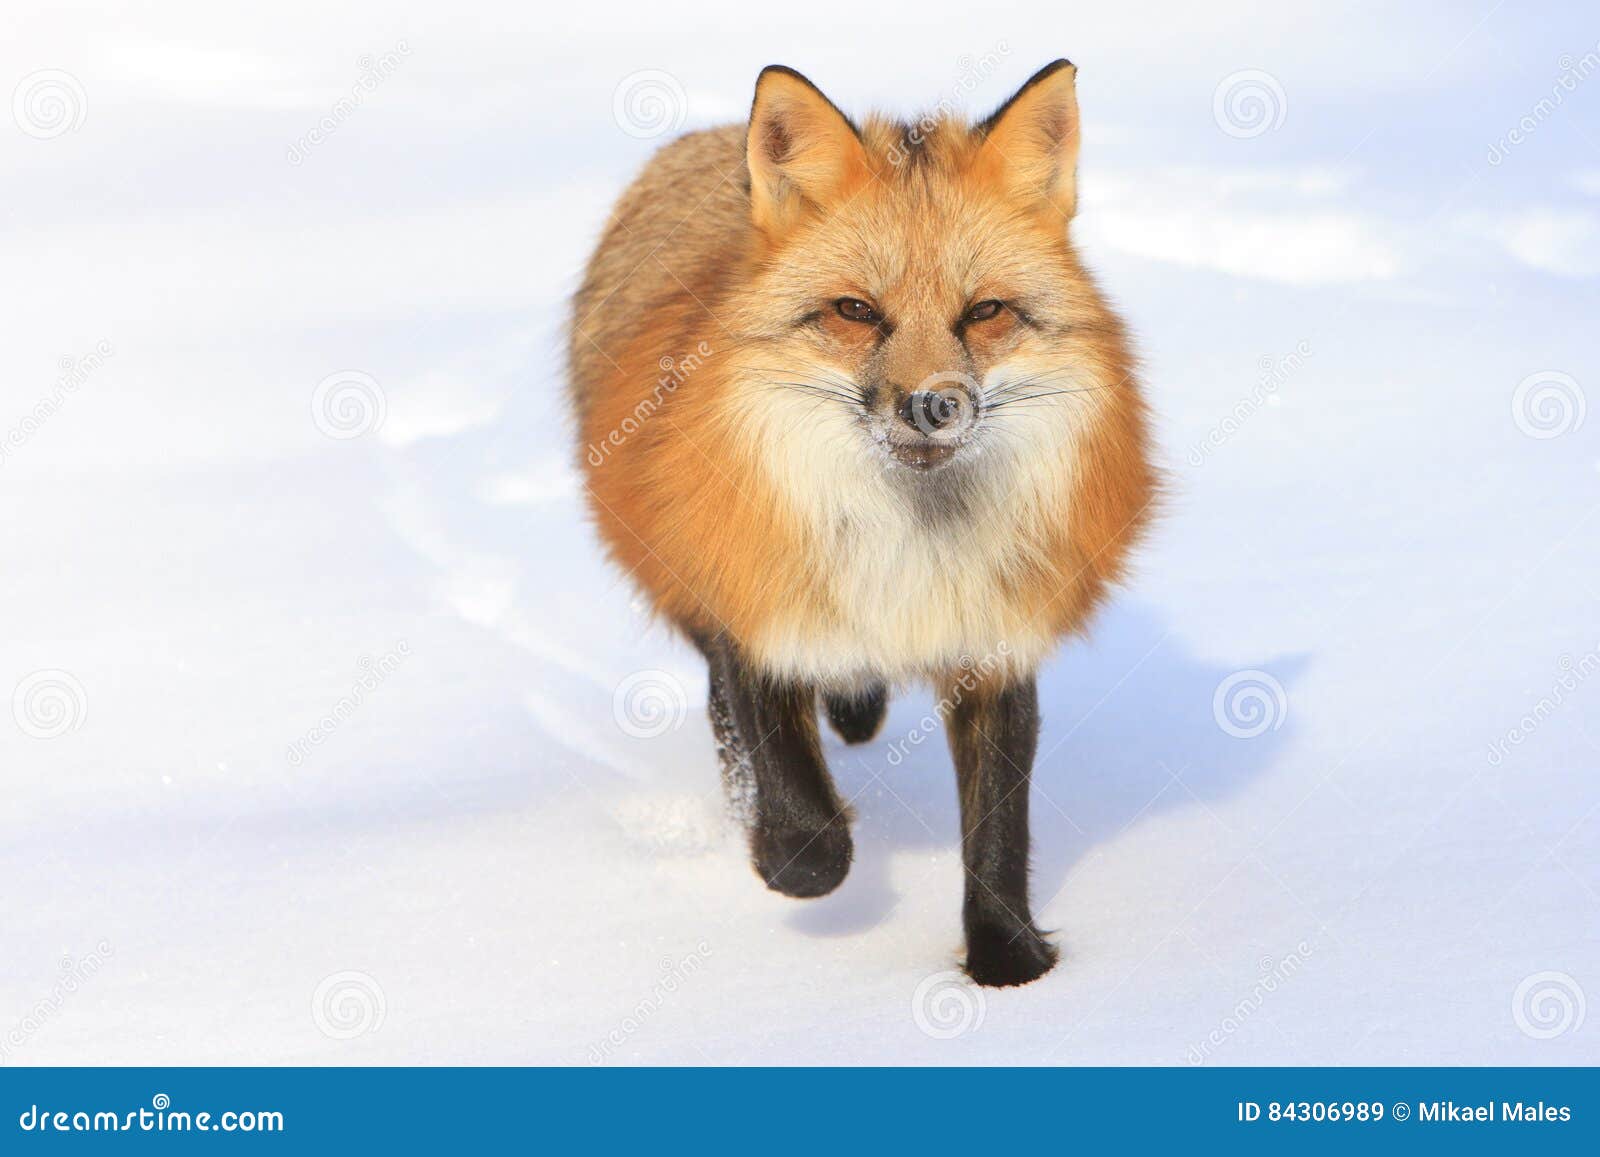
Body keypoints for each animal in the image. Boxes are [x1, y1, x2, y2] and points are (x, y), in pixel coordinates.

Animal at [569, 60, 1155, 987]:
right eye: (854, 311)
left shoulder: (994, 638)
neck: (909, 547)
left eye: (985, 313)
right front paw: (786, 856)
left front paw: (1006, 959)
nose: (932, 404)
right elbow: (802, 824)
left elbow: (998, 829)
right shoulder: (754, 604)